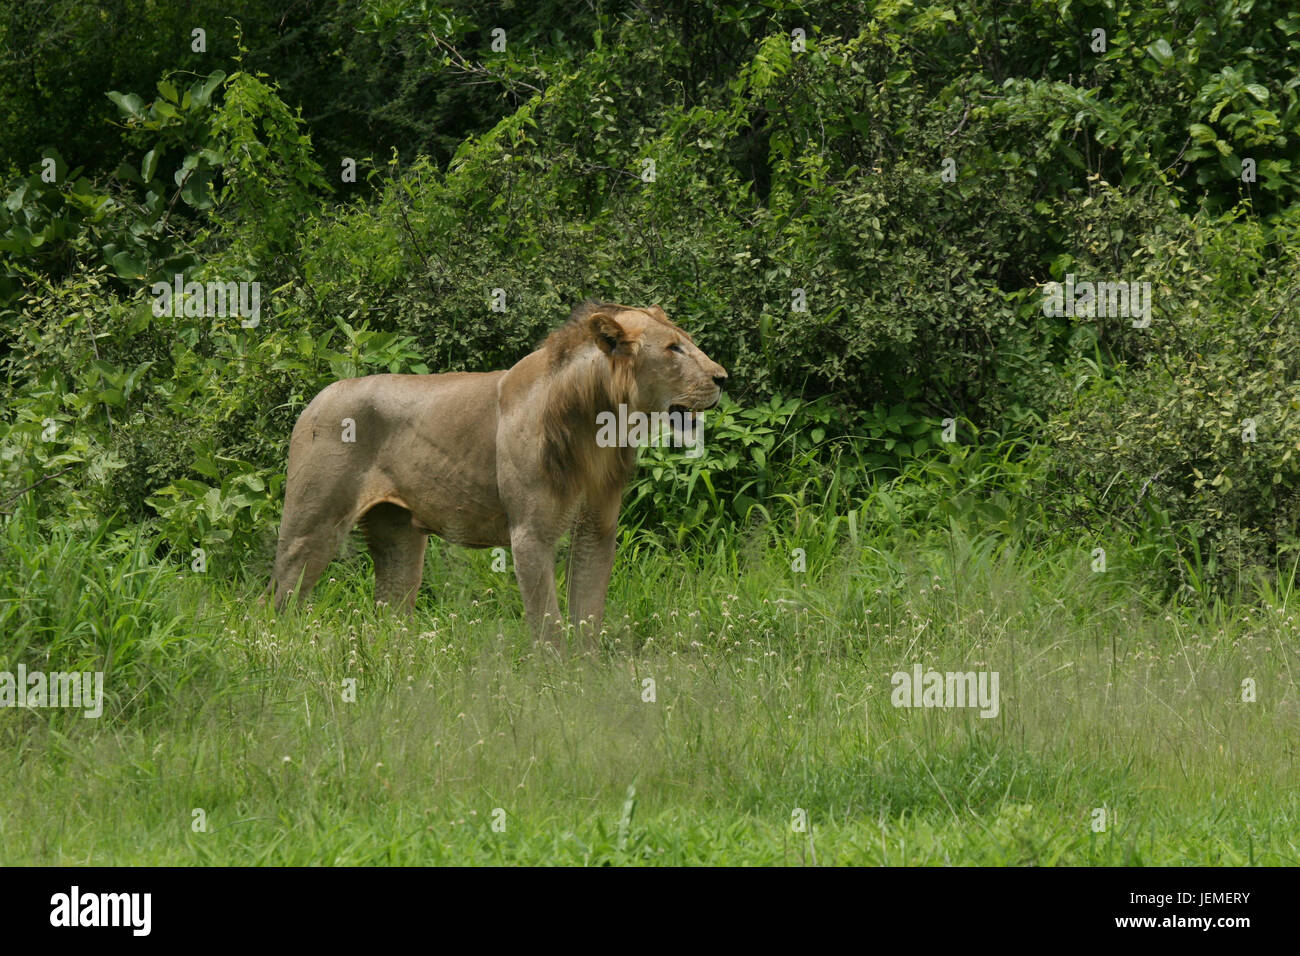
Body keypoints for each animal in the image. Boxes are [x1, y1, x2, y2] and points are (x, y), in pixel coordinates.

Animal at [269, 302, 728, 645]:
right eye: (673, 349)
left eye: (687, 343)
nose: (723, 377)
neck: (599, 423)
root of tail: (318, 397)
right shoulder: (529, 533)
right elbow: (548, 622)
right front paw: (557, 682)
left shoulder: (597, 528)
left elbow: (587, 613)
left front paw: (589, 678)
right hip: (311, 526)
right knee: (276, 602)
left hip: (398, 536)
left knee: (389, 616)